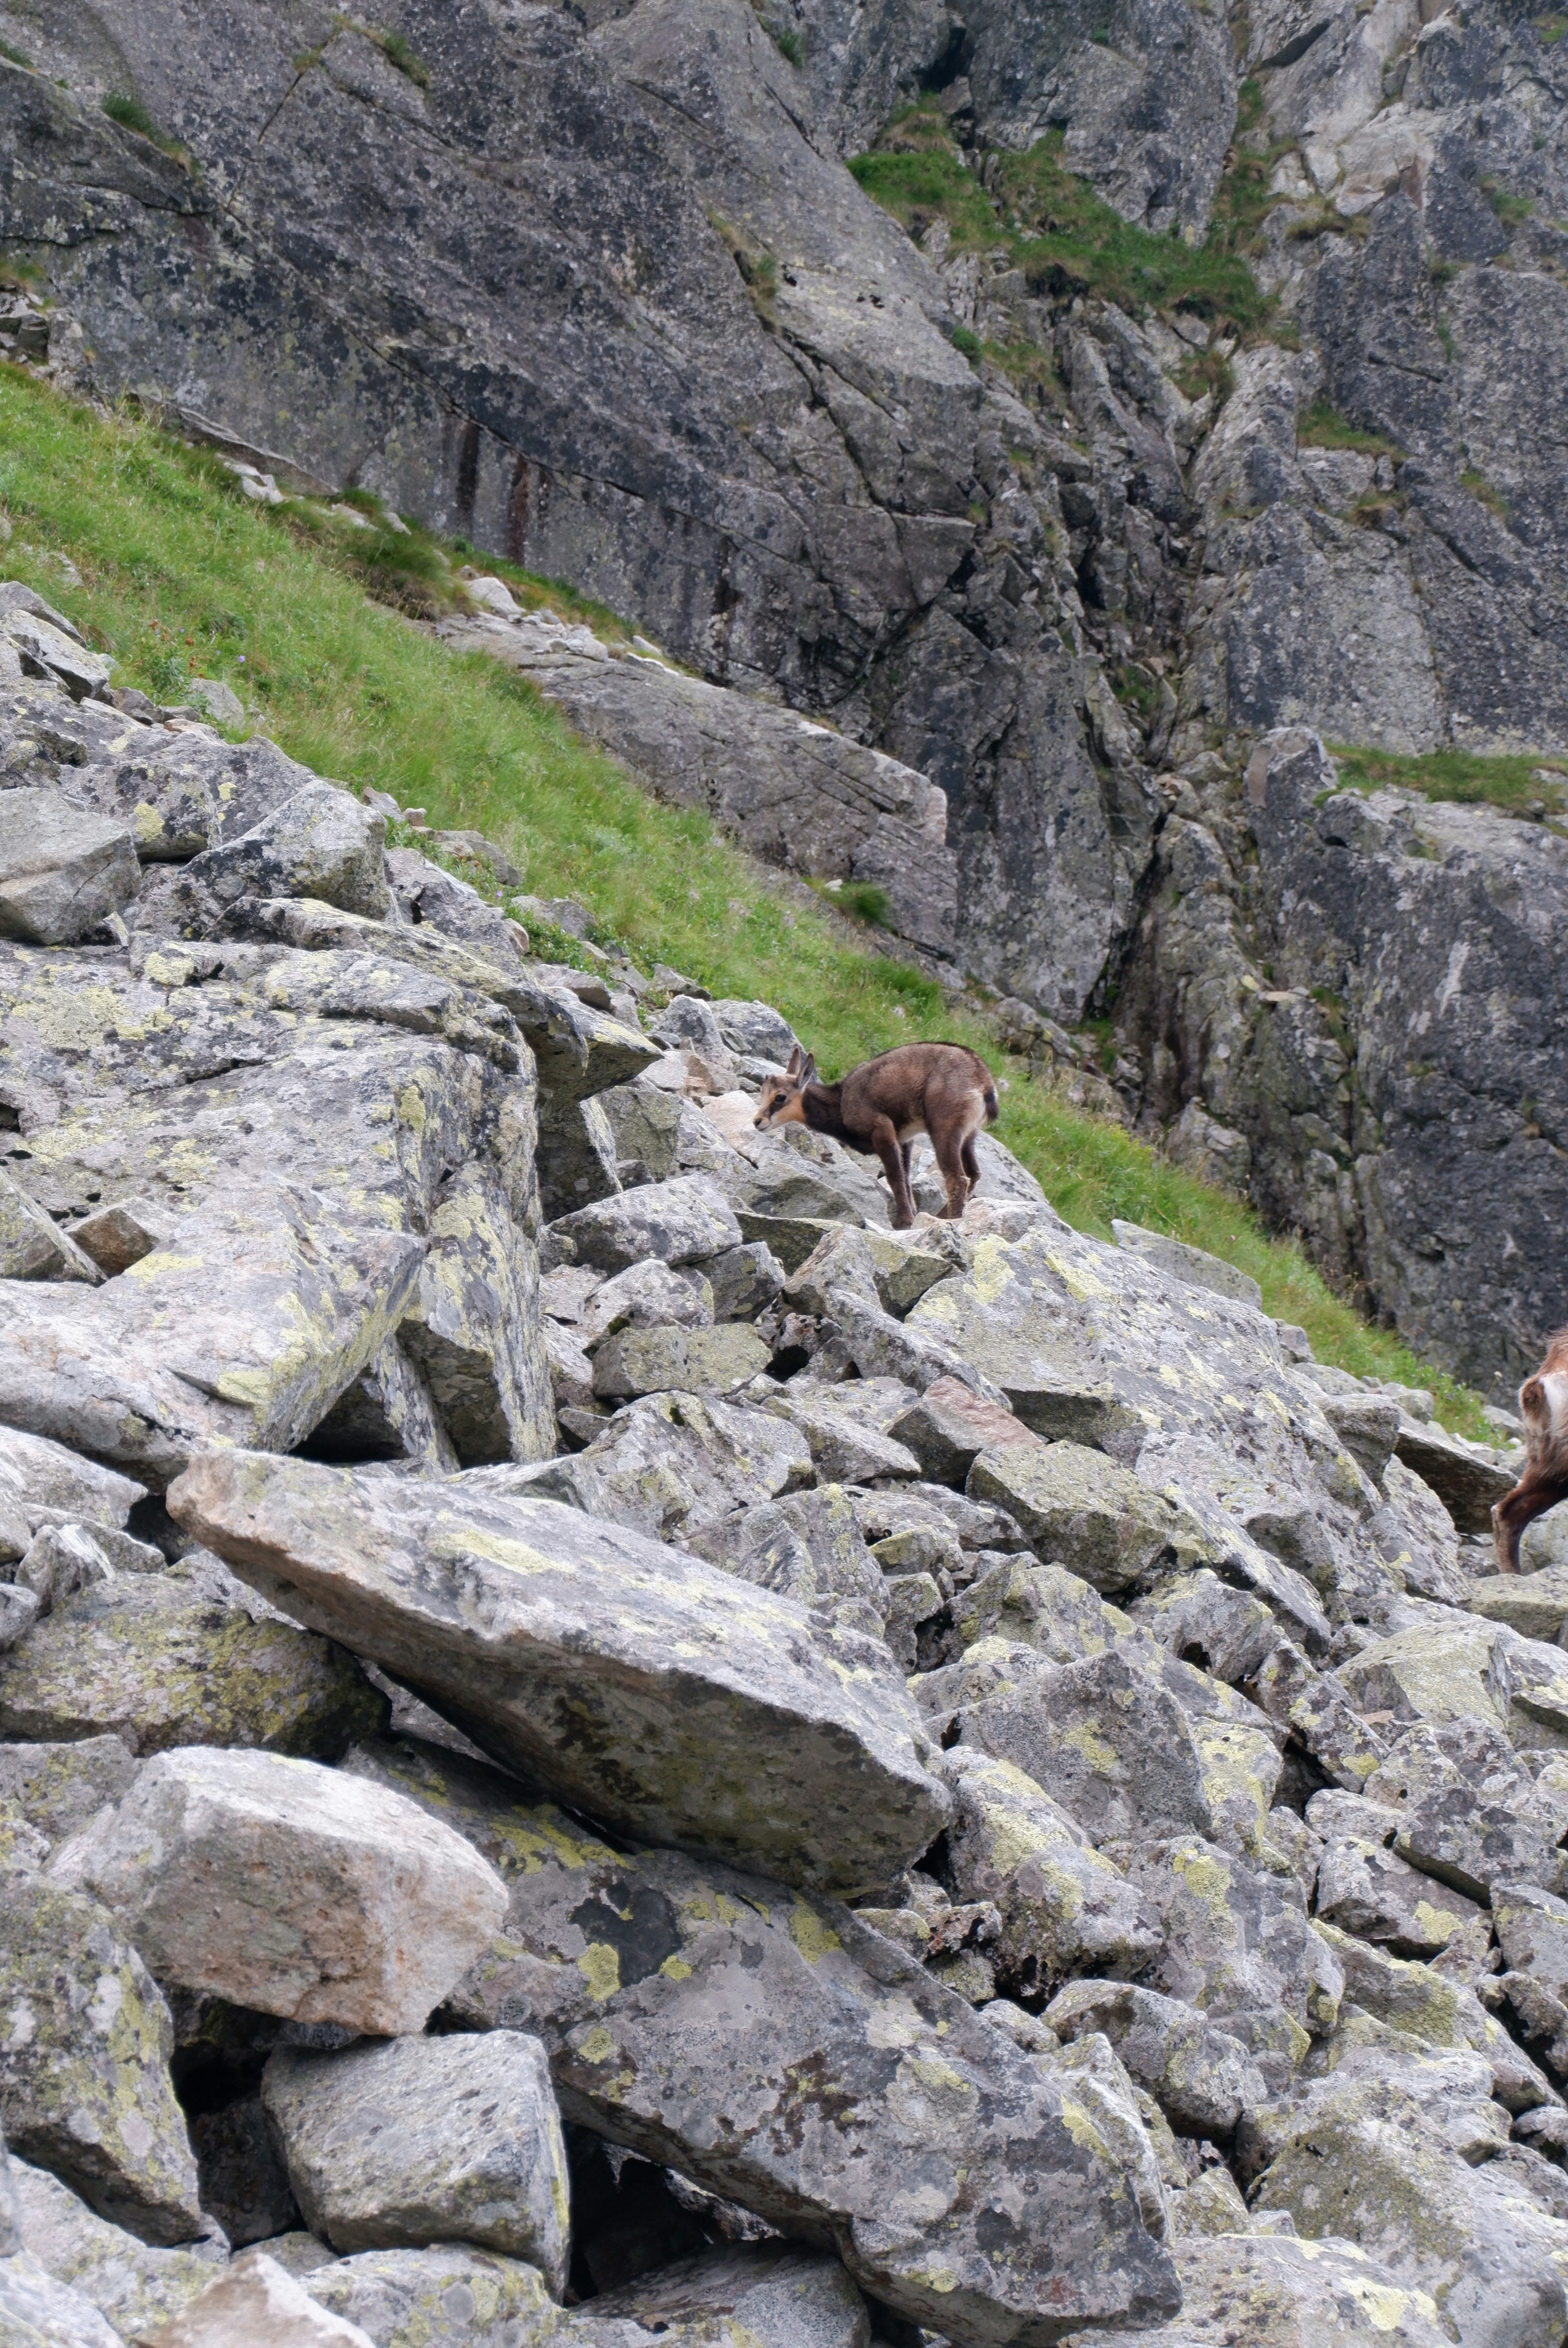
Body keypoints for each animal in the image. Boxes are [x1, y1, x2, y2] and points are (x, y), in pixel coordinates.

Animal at [754, 1041, 999, 1229]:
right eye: (762, 1092)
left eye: (780, 1097)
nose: (757, 1122)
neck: (841, 1104)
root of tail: (983, 1080)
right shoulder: (905, 1139)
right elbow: (906, 1178)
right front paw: (912, 1214)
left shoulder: (881, 1129)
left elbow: (895, 1177)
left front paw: (904, 1222)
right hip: (968, 1136)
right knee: (974, 1173)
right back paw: (943, 1216)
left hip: (944, 1129)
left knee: (957, 1178)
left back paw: (952, 1221)